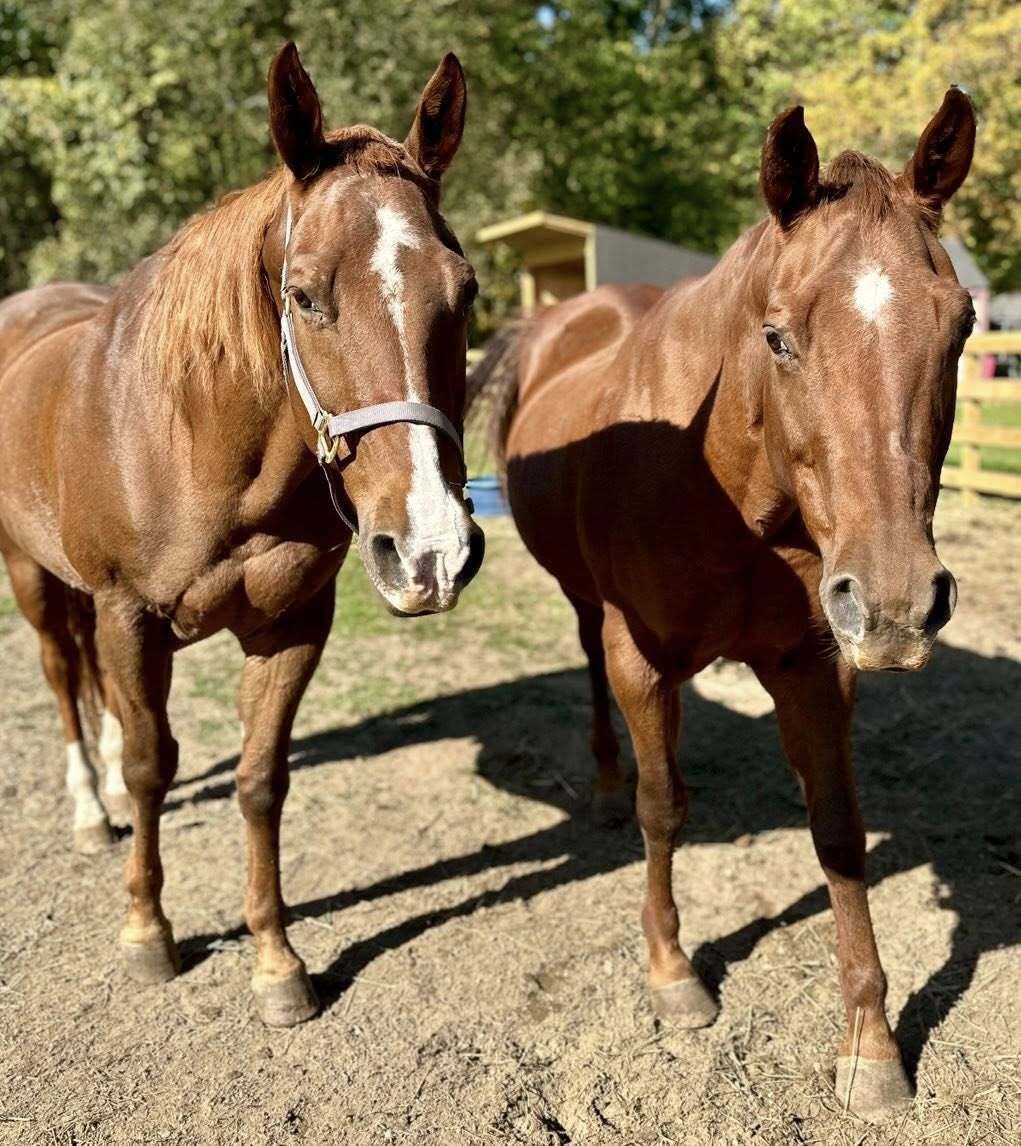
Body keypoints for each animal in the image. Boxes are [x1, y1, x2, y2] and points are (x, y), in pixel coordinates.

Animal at [0, 43, 484, 1027]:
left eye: (466, 291)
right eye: (303, 296)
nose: (431, 552)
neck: (194, 443)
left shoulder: (292, 625)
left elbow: (262, 781)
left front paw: (276, 961)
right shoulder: (126, 616)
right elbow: (149, 762)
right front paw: (148, 932)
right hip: (32, 577)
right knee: (66, 684)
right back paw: (87, 809)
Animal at [467, 90, 976, 1121]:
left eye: (961, 327)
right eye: (778, 336)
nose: (897, 604)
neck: (725, 488)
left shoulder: (811, 666)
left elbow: (838, 831)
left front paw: (870, 1044)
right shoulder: (642, 658)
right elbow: (666, 806)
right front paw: (672, 974)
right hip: (587, 604)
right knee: (591, 673)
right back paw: (604, 784)